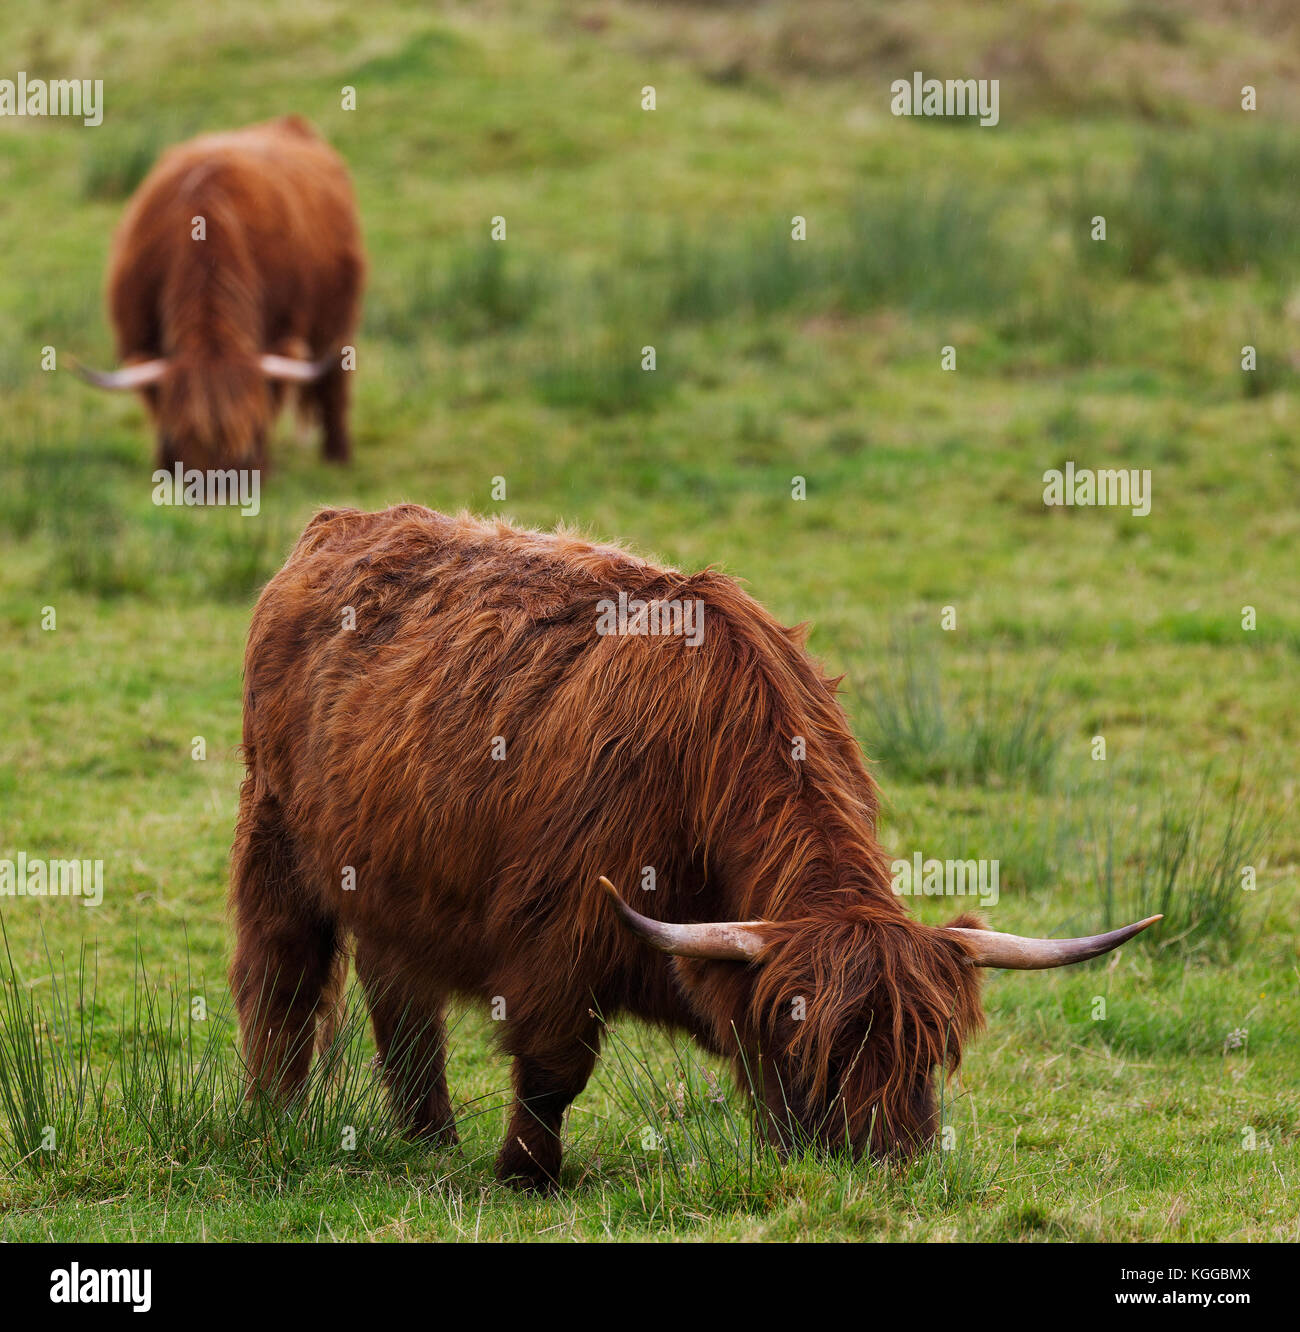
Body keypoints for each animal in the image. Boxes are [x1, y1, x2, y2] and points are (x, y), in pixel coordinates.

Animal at [74, 116, 364, 472]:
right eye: (179, 440)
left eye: (251, 438)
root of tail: (290, 122)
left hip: (339, 317)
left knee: (335, 382)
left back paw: (338, 455)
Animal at [230, 504, 1159, 1190]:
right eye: (814, 1048)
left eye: (931, 1050)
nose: (887, 1166)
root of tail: (346, 521)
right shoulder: (557, 938)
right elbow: (552, 1072)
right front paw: (524, 1174)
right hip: (274, 839)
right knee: (278, 982)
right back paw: (277, 1120)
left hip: (391, 882)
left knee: (399, 994)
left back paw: (429, 1137)